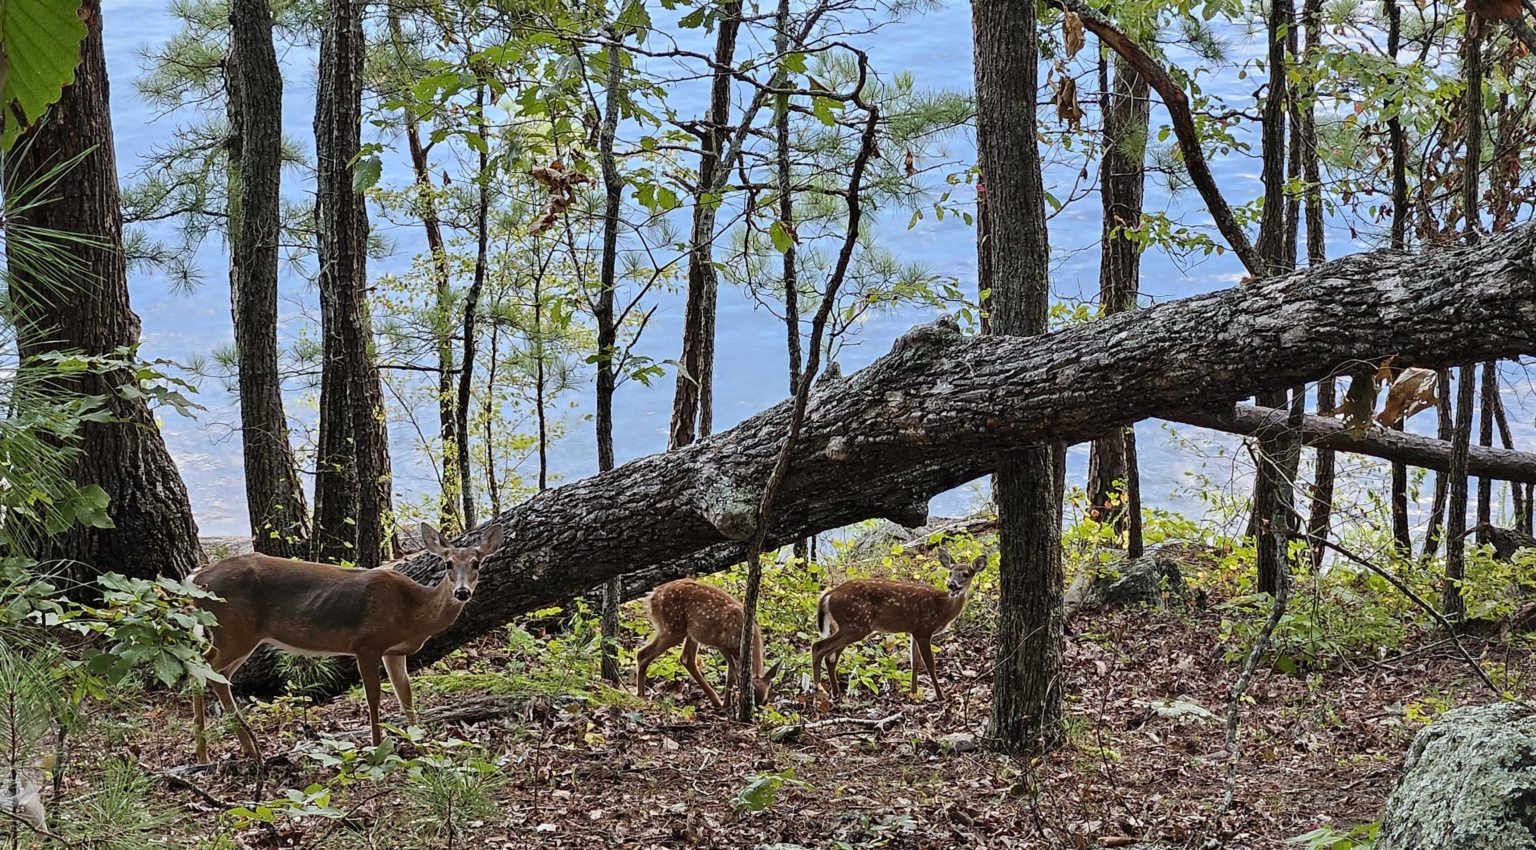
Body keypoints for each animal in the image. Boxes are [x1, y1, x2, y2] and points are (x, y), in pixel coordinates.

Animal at [190, 522, 503, 763]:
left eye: (476, 563)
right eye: (448, 564)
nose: (462, 592)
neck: (413, 612)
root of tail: (196, 578)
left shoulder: (394, 651)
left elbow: (405, 694)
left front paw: (421, 746)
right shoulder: (366, 643)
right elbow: (374, 696)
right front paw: (377, 747)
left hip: (239, 636)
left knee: (218, 674)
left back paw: (244, 750)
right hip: (233, 630)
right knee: (202, 667)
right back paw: (208, 754)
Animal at [634, 578, 784, 711]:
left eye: (765, 701)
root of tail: (652, 595)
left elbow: (732, 673)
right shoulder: (724, 645)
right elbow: (732, 674)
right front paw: (727, 704)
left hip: (689, 632)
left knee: (686, 658)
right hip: (673, 627)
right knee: (643, 654)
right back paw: (641, 695)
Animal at [811, 550, 987, 704]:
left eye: (965, 574)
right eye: (950, 573)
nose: (951, 585)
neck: (942, 608)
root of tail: (828, 595)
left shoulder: (914, 631)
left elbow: (915, 663)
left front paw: (913, 694)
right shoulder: (924, 629)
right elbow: (929, 664)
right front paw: (940, 696)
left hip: (846, 625)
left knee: (830, 657)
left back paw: (835, 694)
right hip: (856, 623)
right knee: (818, 646)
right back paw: (818, 690)